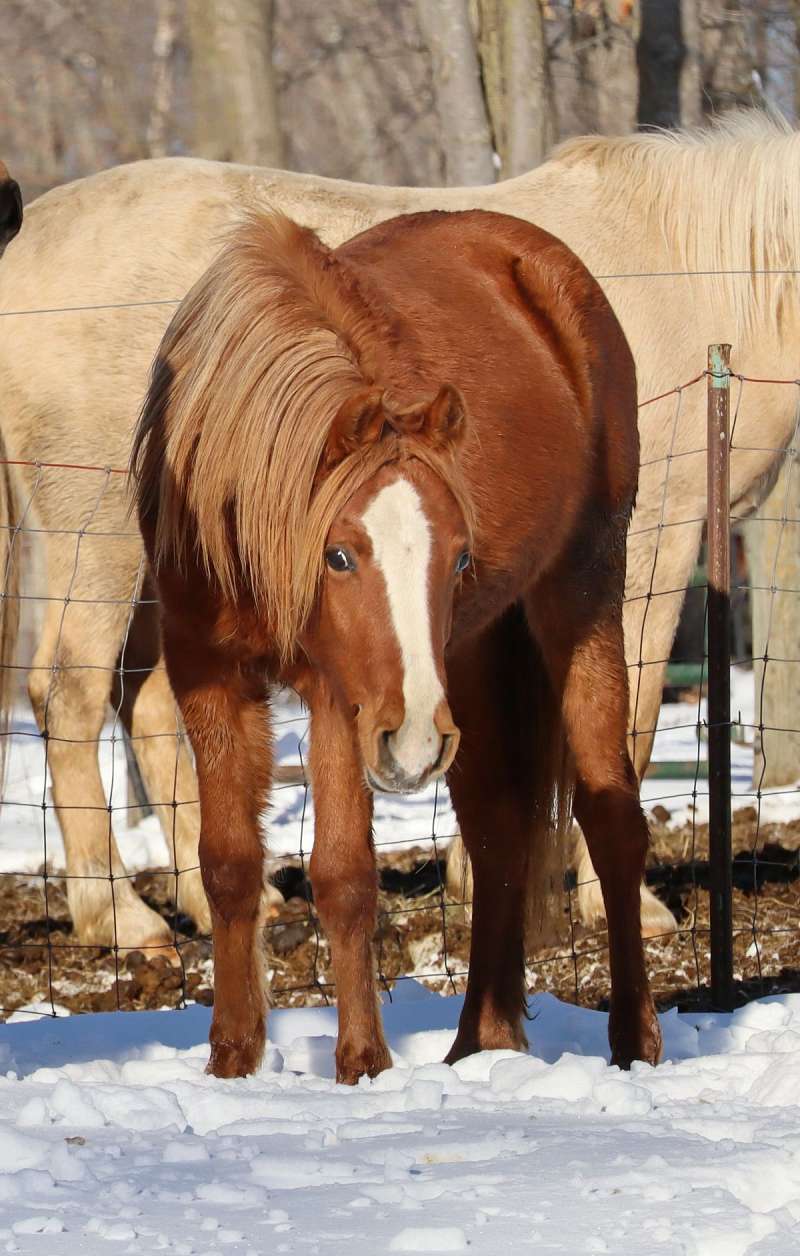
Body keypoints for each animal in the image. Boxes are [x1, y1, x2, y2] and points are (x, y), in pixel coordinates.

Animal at [0, 109, 795, 953]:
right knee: (71, 694)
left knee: (148, 703)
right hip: (102, 533)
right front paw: (624, 904)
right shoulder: (654, 537)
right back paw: (120, 916)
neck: (700, 270)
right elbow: (629, 712)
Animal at [131, 205, 661, 1080]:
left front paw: (363, 1064)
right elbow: (229, 861)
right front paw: (233, 1058)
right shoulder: (205, 669)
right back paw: (483, 1041)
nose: (412, 740)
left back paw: (634, 1042)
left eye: (460, 556)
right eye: (339, 555)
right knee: (497, 825)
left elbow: (345, 872)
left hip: (578, 597)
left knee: (610, 816)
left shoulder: (337, 691)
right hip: (469, 656)